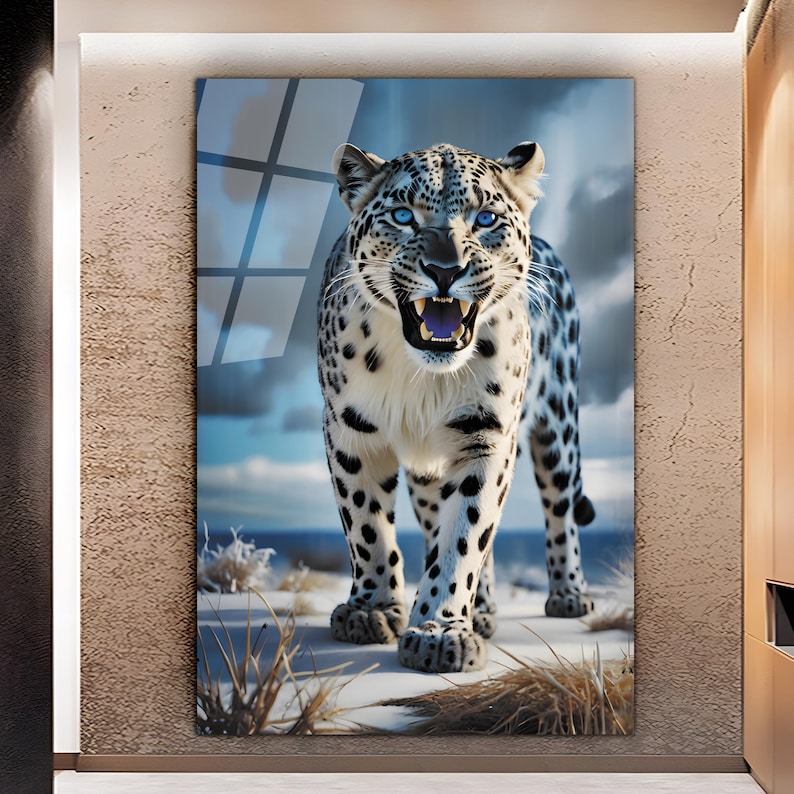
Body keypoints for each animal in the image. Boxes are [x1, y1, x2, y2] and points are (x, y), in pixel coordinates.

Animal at [317, 141, 595, 674]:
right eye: (403, 215)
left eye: (485, 218)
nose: (445, 270)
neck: (422, 375)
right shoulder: (351, 433)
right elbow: (366, 527)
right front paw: (371, 611)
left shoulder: (487, 437)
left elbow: (465, 536)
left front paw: (438, 631)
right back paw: (482, 610)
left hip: (559, 429)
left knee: (561, 509)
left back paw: (569, 595)